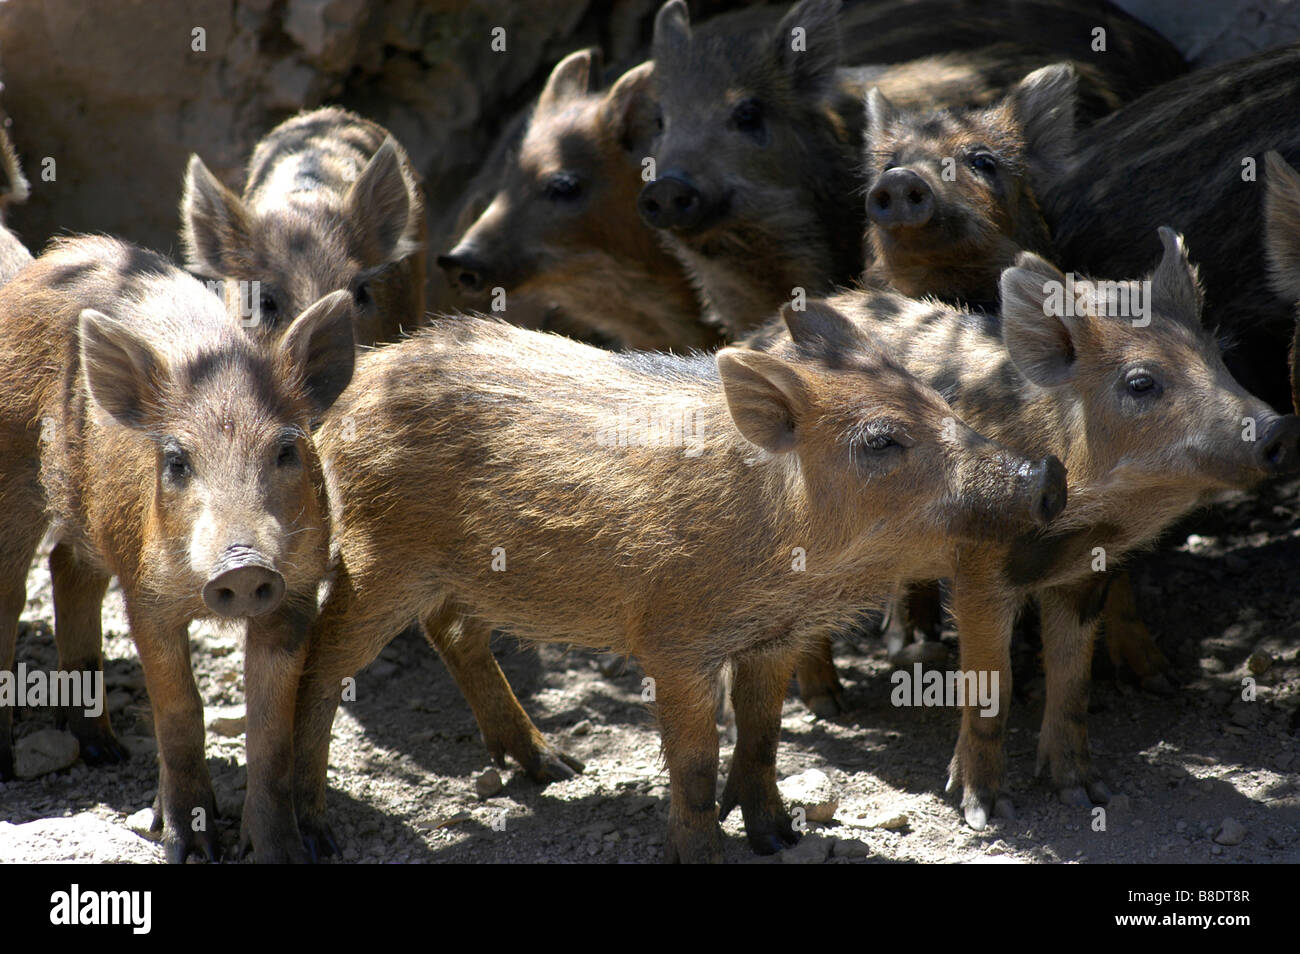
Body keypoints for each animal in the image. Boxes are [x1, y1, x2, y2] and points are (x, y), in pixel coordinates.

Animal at [0, 236, 355, 862]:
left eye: (287, 450)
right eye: (177, 461)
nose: (242, 566)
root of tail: (46, 262)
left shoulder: (295, 595)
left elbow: (271, 730)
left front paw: (283, 853)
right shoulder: (147, 594)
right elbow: (179, 706)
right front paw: (187, 848)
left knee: (68, 568)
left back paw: (106, 753)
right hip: (15, 481)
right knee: (11, 592)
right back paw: (4, 764)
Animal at [273, 304, 1066, 863]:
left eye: (943, 404)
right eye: (881, 441)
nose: (1048, 474)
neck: (783, 543)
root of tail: (352, 394)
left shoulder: (774, 639)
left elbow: (763, 737)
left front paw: (779, 840)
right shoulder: (674, 646)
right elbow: (692, 762)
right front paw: (706, 853)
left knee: (453, 632)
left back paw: (555, 768)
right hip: (380, 560)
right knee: (321, 666)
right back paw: (314, 835)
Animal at [758, 227, 1300, 827]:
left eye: (1218, 357)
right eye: (1140, 382)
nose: (1280, 427)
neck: (1082, 520)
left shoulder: (1084, 575)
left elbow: (1071, 684)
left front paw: (1085, 794)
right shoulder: (977, 573)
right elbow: (994, 685)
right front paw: (983, 812)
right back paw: (832, 705)